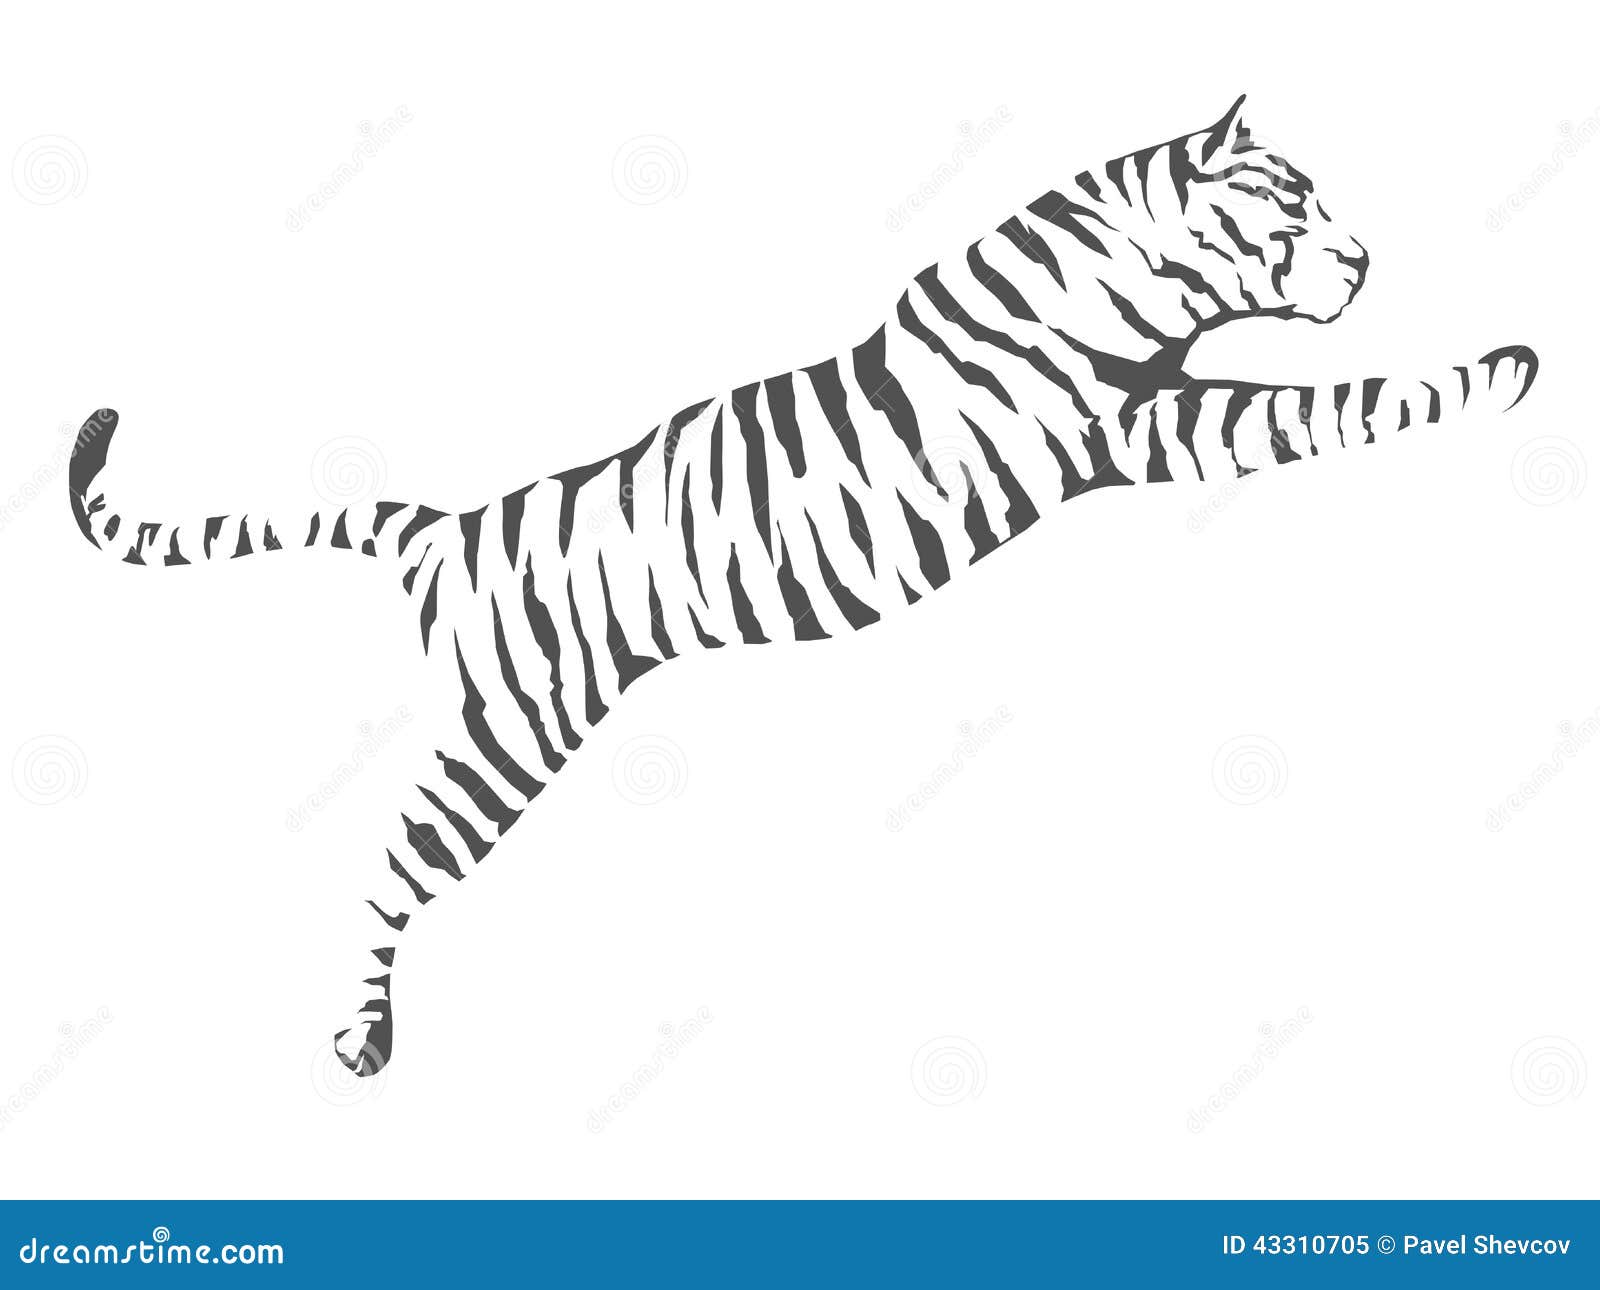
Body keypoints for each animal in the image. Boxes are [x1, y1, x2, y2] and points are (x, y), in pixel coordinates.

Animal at [67, 96, 1540, 1075]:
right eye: (1292, 204)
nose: (1368, 261)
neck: (1126, 283)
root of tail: (448, 527)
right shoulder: (1141, 426)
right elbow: (1333, 405)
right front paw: (1501, 367)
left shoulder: (1153, 414)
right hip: (505, 739)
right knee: (384, 873)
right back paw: (357, 1033)